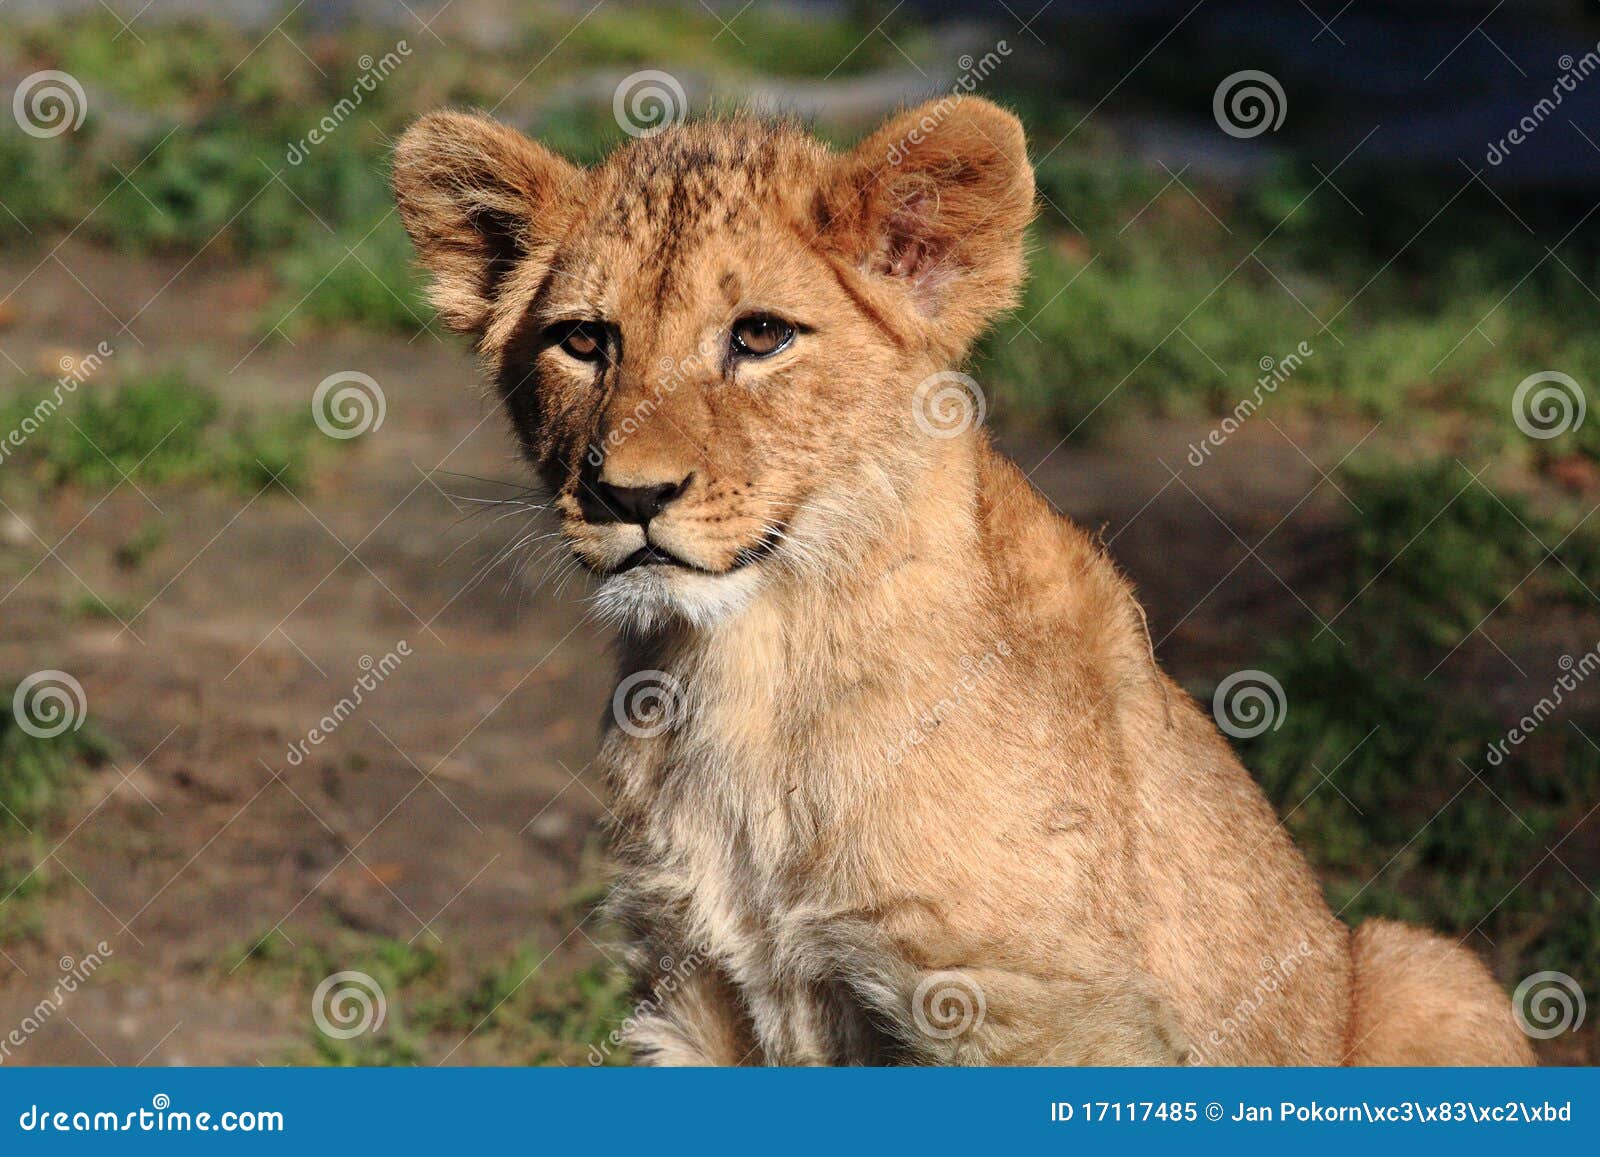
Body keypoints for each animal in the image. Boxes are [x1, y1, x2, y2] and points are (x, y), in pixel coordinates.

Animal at [393, 96, 1532, 1066]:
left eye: (759, 334)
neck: (753, 669)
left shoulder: (1026, 1010)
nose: (629, 494)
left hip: (1423, 963)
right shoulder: (693, 990)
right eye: (584, 340)